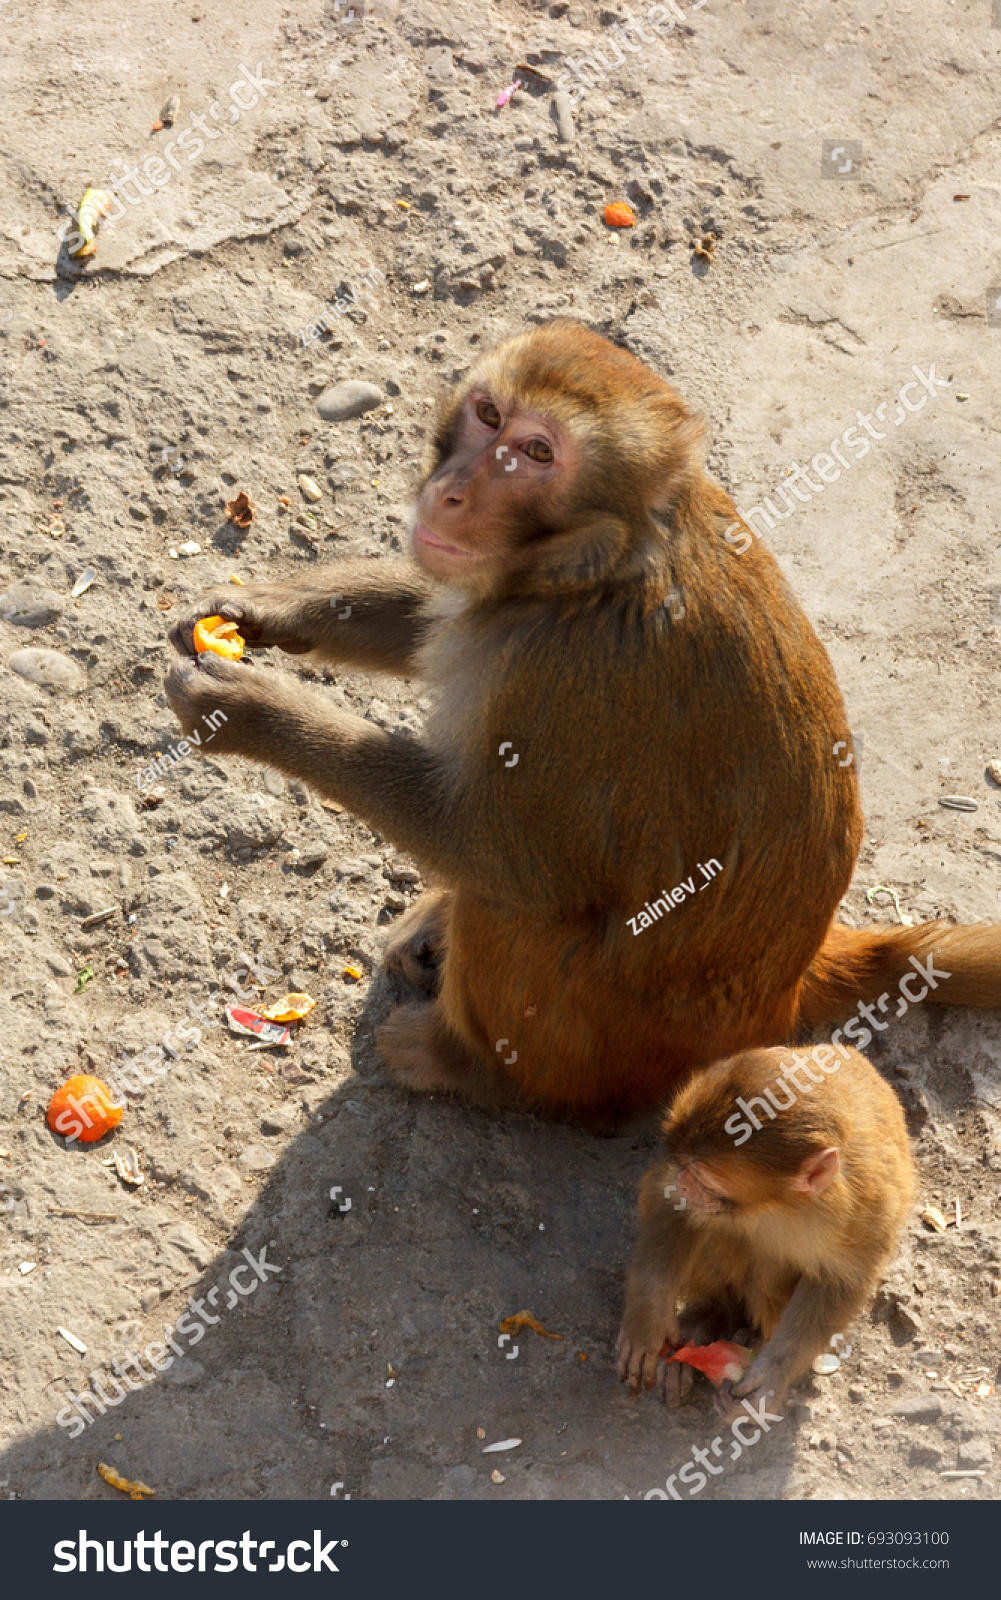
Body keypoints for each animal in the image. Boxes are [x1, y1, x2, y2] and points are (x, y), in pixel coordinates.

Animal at [164, 321, 1001, 1120]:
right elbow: (440, 622)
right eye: (489, 416)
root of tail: (788, 988)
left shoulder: (568, 676)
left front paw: (249, 710)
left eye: (538, 453)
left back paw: (468, 1067)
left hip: (604, 1049)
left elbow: (497, 852)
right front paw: (268, 607)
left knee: (511, 907)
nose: (453, 492)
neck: (596, 572)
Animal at [617, 1044, 913, 1415]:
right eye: (685, 1165)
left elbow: (840, 1282)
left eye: (706, 1181)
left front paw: (771, 1375)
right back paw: (710, 1317)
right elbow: (666, 1194)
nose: (684, 1182)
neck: (779, 1204)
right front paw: (647, 1318)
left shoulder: (868, 1206)